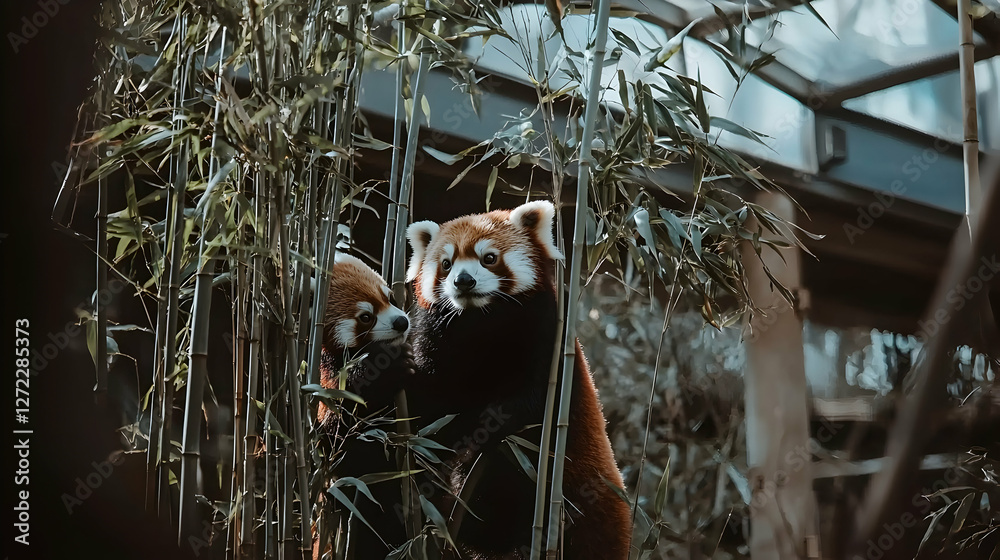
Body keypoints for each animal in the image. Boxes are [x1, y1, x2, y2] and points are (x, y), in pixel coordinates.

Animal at [405, 200, 631, 560]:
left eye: (489, 258)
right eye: (446, 263)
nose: (463, 281)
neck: (481, 322)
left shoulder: (549, 340)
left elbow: (527, 404)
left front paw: (478, 431)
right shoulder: (437, 342)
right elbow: (430, 406)